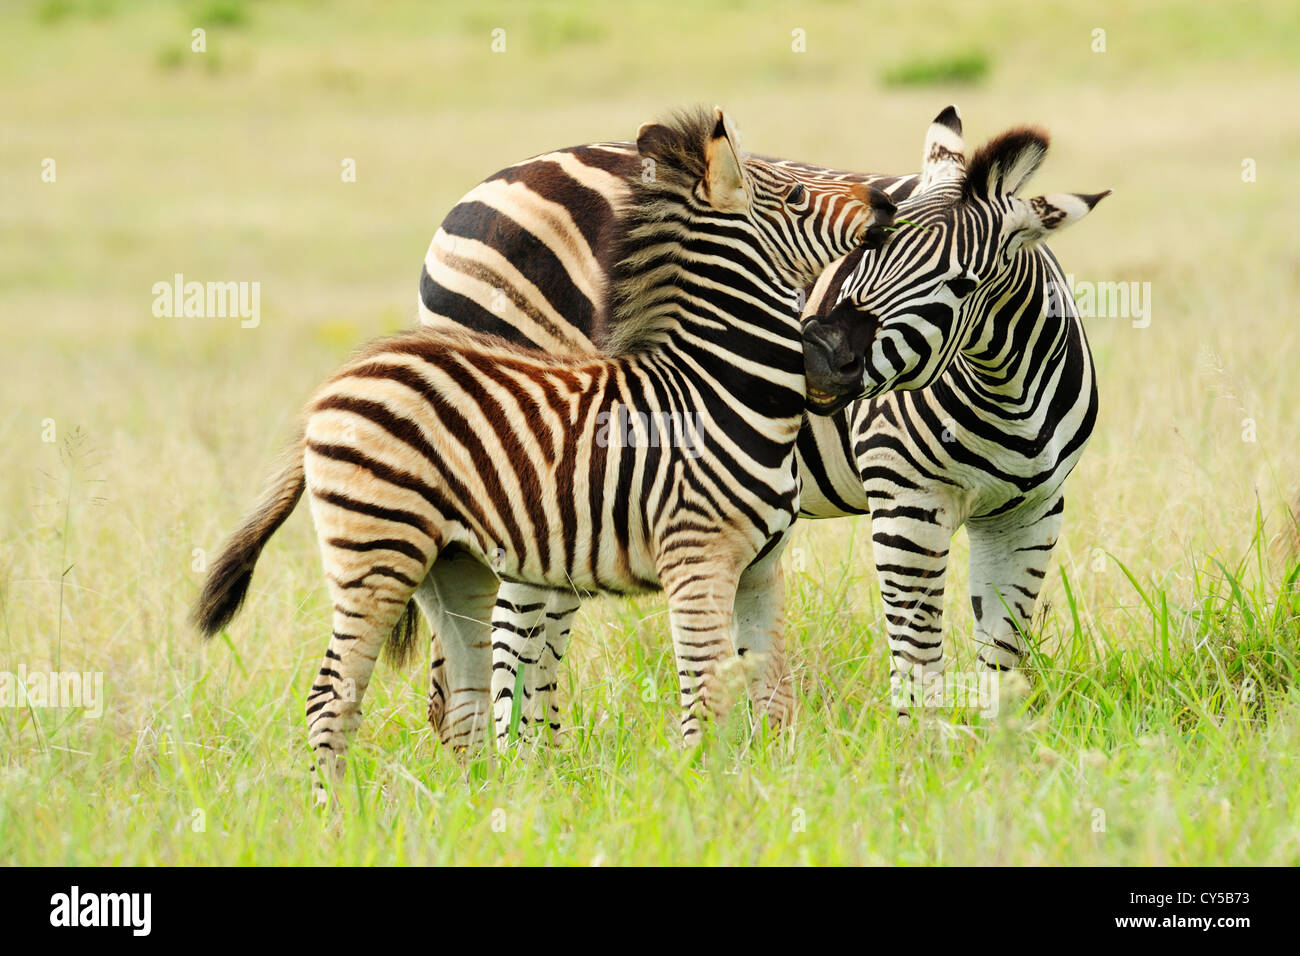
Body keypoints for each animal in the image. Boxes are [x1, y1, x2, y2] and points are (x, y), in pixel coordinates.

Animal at [191, 107, 888, 784]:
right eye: (797, 195)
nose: (885, 202)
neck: (724, 384)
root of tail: (336, 382)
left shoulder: (761, 568)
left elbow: (773, 698)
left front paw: (772, 785)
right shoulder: (697, 560)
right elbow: (707, 696)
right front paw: (703, 790)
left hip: (452, 562)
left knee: (464, 697)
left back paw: (482, 805)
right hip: (378, 548)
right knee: (334, 696)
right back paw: (337, 813)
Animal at [416, 106, 1105, 736]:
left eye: (963, 284)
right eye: (869, 251)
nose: (818, 358)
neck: (1005, 386)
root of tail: (488, 186)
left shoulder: (1031, 511)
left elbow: (1002, 654)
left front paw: (999, 758)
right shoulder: (907, 500)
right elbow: (918, 653)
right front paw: (925, 760)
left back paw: (547, 762)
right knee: (513, 625)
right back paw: (521, 763)